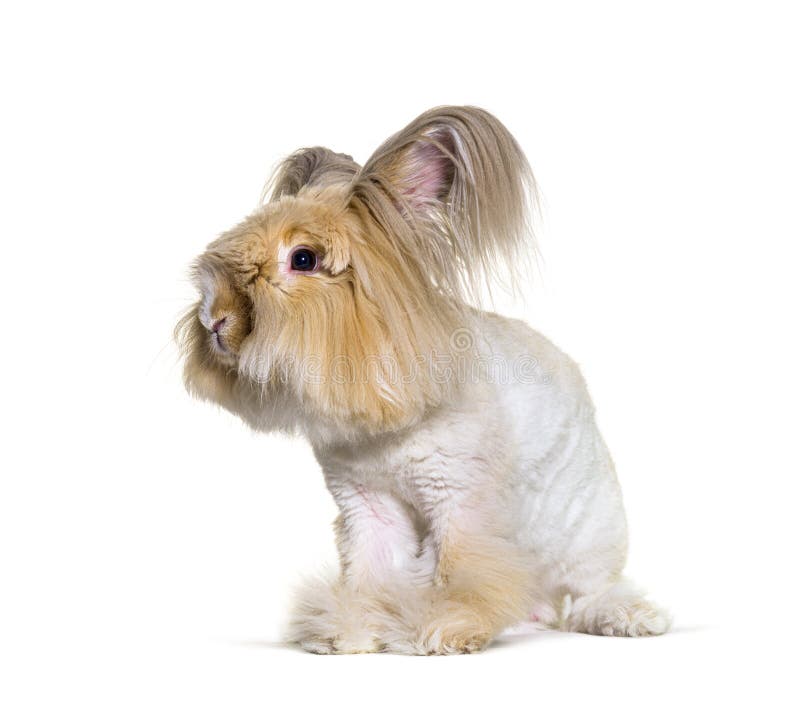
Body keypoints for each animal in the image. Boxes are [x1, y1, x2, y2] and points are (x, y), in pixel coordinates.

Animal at [176, 106, 670, 654]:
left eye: (303, 258)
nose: (214, 319)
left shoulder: (459, 500)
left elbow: (459, 570)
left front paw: (444, 629)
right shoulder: (368, 507)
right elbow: (369, 573)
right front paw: (345, 631)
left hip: (587, 530)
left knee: (590, 590)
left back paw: (630, 619)